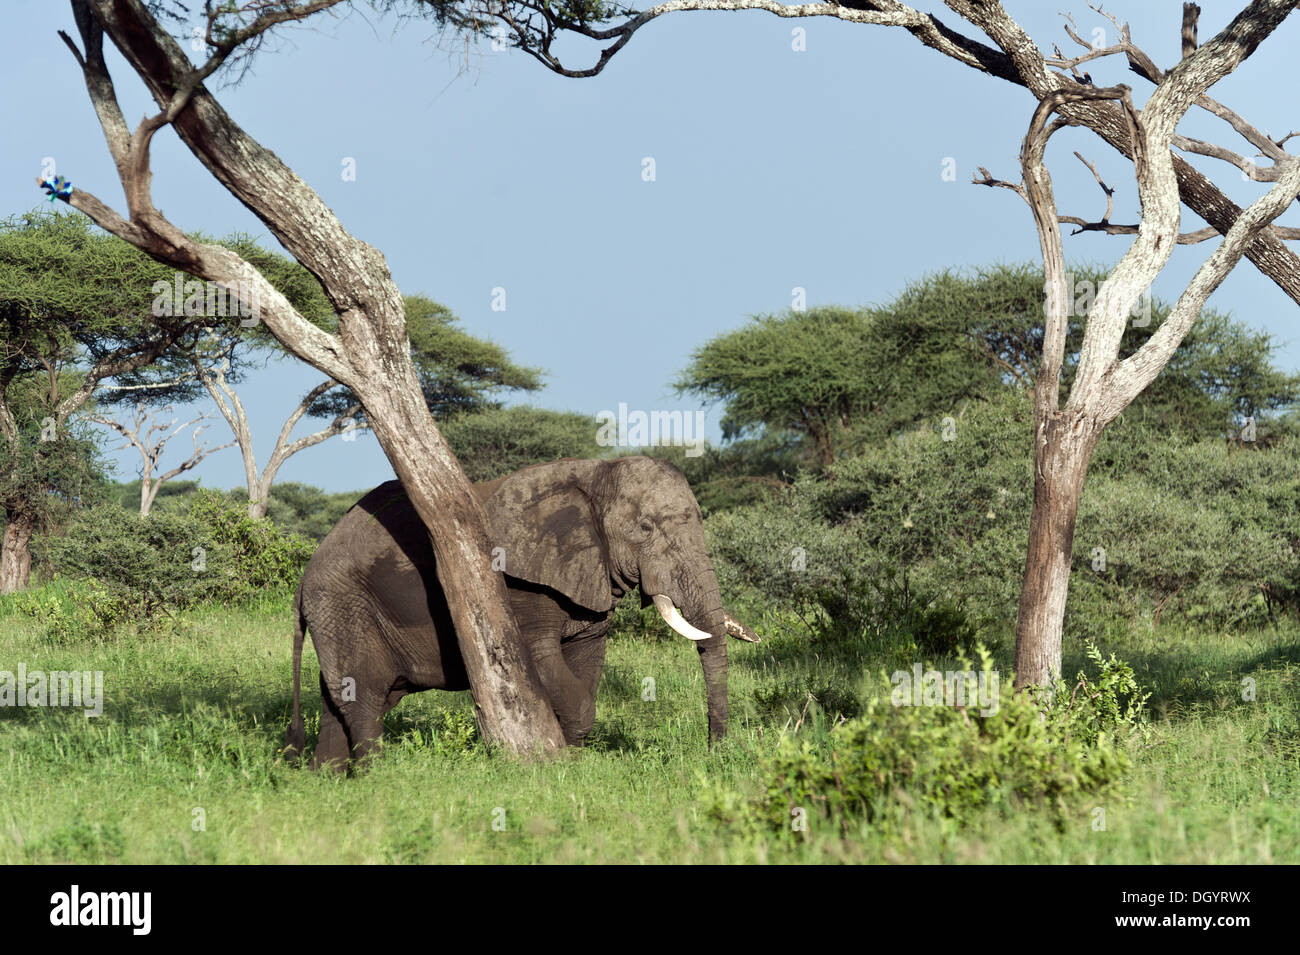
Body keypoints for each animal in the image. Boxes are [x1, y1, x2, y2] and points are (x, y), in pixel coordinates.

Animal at [284, 456, 759, 769]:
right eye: (645, 528)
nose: (716, 753)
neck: (594, 471)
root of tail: (305, 577)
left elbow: (588, 661)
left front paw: (572, 758)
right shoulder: (518, 583)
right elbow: (541, 657)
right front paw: (564, 762)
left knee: (341, 699)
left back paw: (329, 780)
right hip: (343, 602)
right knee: (363, 696)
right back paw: (377, 778)